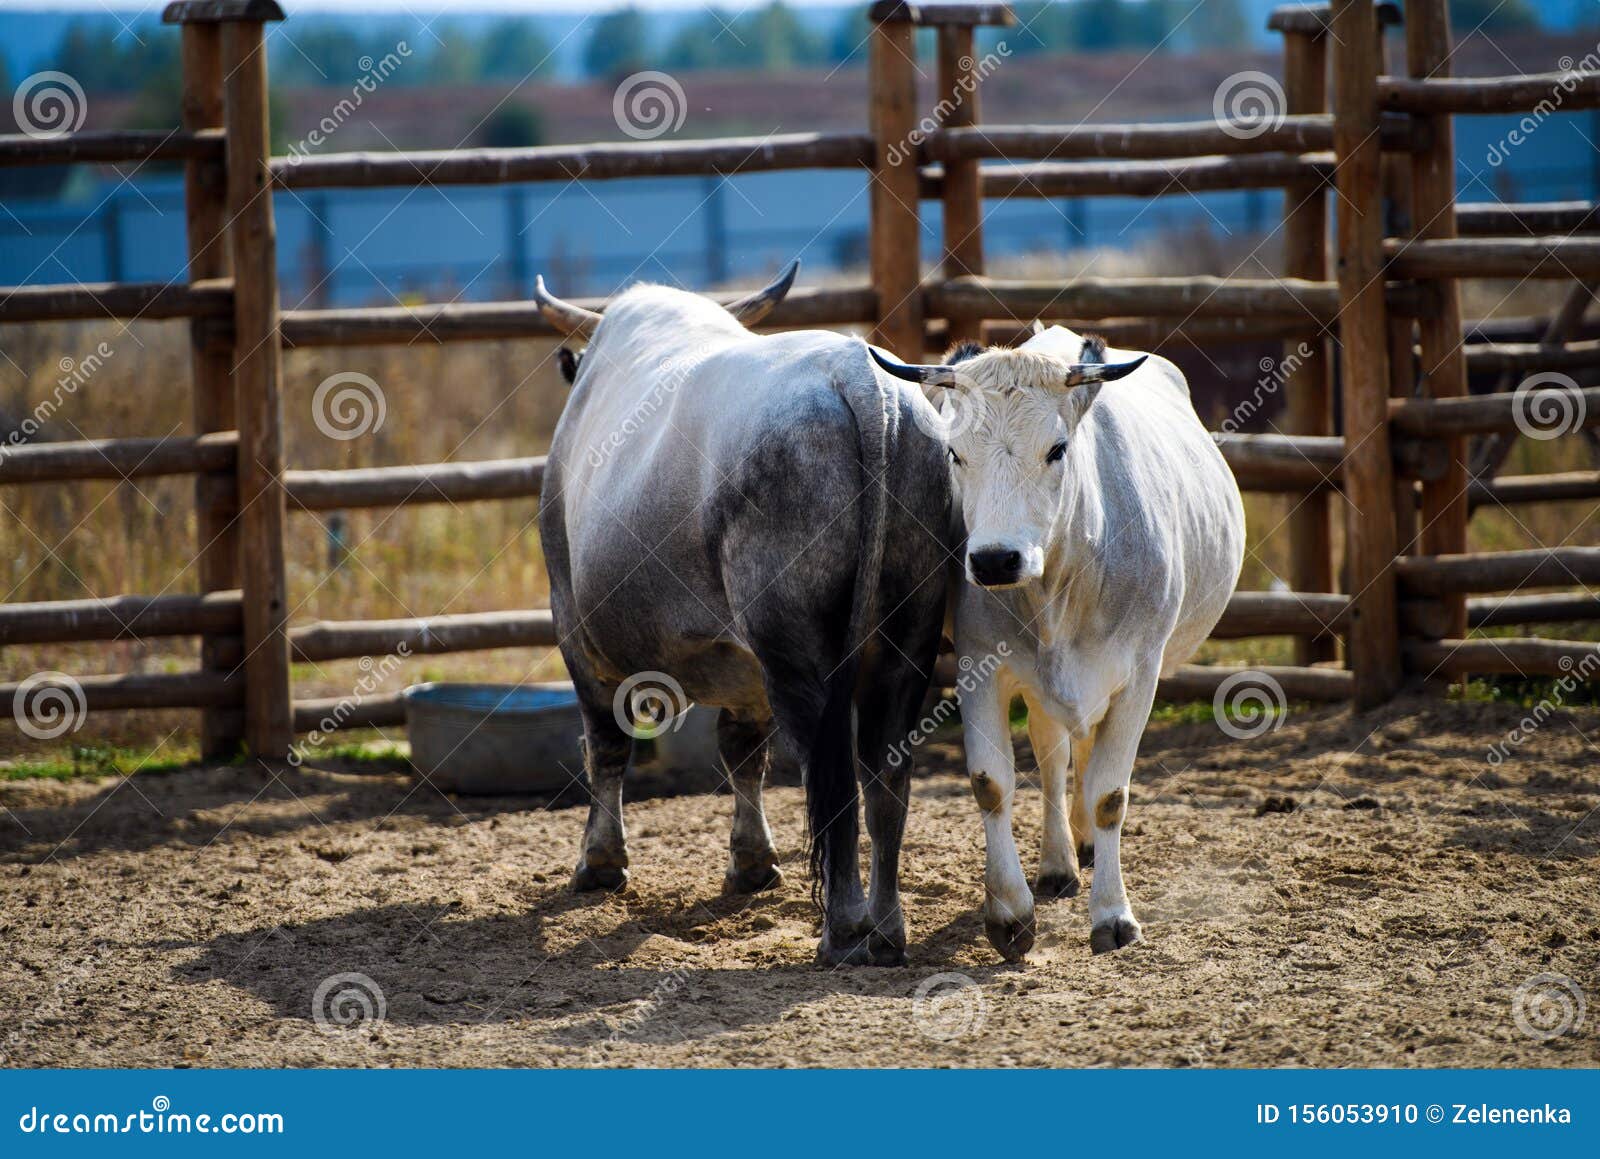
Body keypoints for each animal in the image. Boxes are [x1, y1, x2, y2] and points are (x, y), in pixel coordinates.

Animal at [534, 264, 953, 966]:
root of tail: (860, 378)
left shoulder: (573, 626)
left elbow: (607, 746)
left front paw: (599, 862)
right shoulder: (743, 667)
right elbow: (742, 751)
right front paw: (752, 863)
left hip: (795, 648)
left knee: (831, 775)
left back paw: (844, 931)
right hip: (907, 641)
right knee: (885, 776)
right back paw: (887, 929)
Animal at [869, 326, 1245, 961]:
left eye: (1057, 450)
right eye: (955, 454)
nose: (995, 559)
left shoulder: (1140, 673)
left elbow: (1110, 793)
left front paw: (1113, 914)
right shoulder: (980, 667)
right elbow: (992, 783)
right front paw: (1010, 913)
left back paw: (1086, 846)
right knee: (1053, 755)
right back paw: (1058, 863)